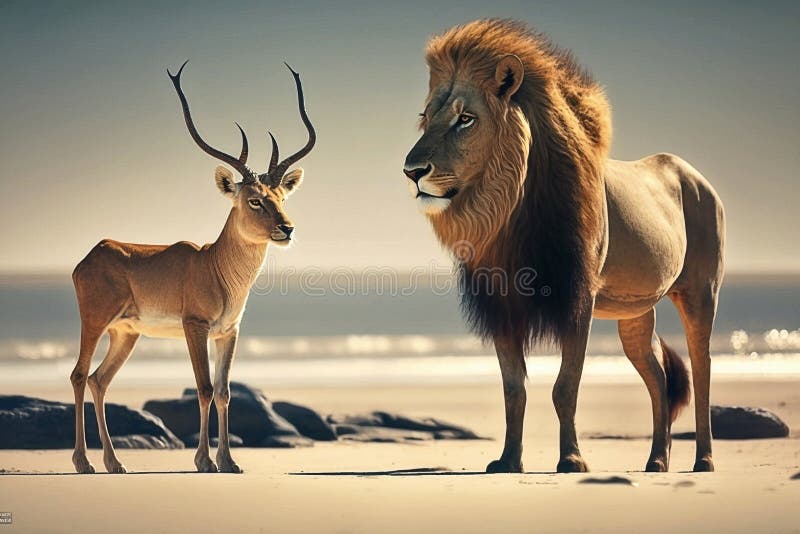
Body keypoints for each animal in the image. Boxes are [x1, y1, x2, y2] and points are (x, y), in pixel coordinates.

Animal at [70, 61, 316, 474]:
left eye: (281, 196)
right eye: (253, 199)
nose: (287, 228)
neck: (215, 269)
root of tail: (91, 254)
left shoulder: (228, 333)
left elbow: (225, 391)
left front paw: (229, 462)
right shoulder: (195, 326)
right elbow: (202, 388)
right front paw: (204, 461)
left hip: (125, 333)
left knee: (99, 380)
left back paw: (114, 463)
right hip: (95, 321)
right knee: (78, 374)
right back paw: (83, 462)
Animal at [403, 18, 724, 473]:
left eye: (465, 119)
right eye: (427, 117)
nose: (412, 171)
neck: (511, 215)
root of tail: (697, 176)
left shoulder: (578, 299)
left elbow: (564, 387)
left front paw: (572, 460)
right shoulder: (502, 303)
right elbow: (514, 390)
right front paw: (508, 461)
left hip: (700, 292)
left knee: (702, 368)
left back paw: (704, 462)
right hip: (635, 312)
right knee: (659, 377)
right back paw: (656, 461)